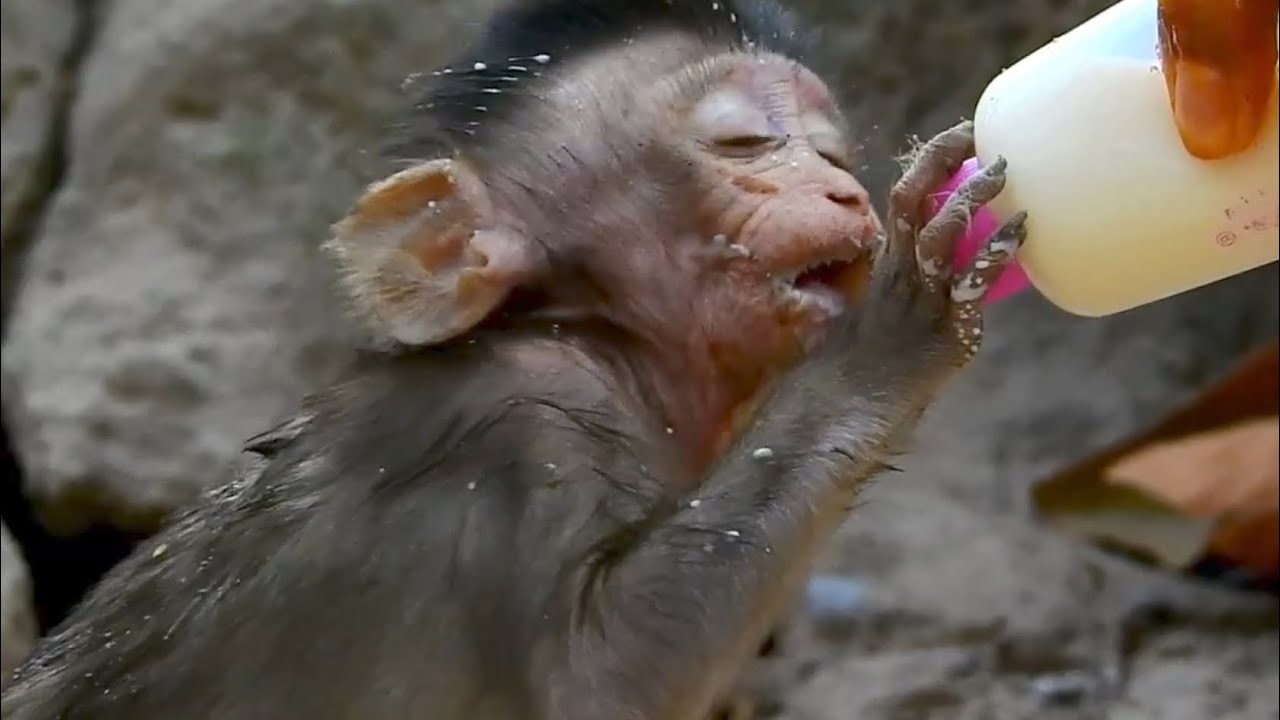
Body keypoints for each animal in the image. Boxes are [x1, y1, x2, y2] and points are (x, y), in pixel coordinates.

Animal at [0, 1, 1027, 718]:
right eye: (743, 142)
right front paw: (895, 325)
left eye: (829, 151)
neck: (604, 343)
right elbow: (605, 680)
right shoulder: (522, 426)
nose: (842, 189)